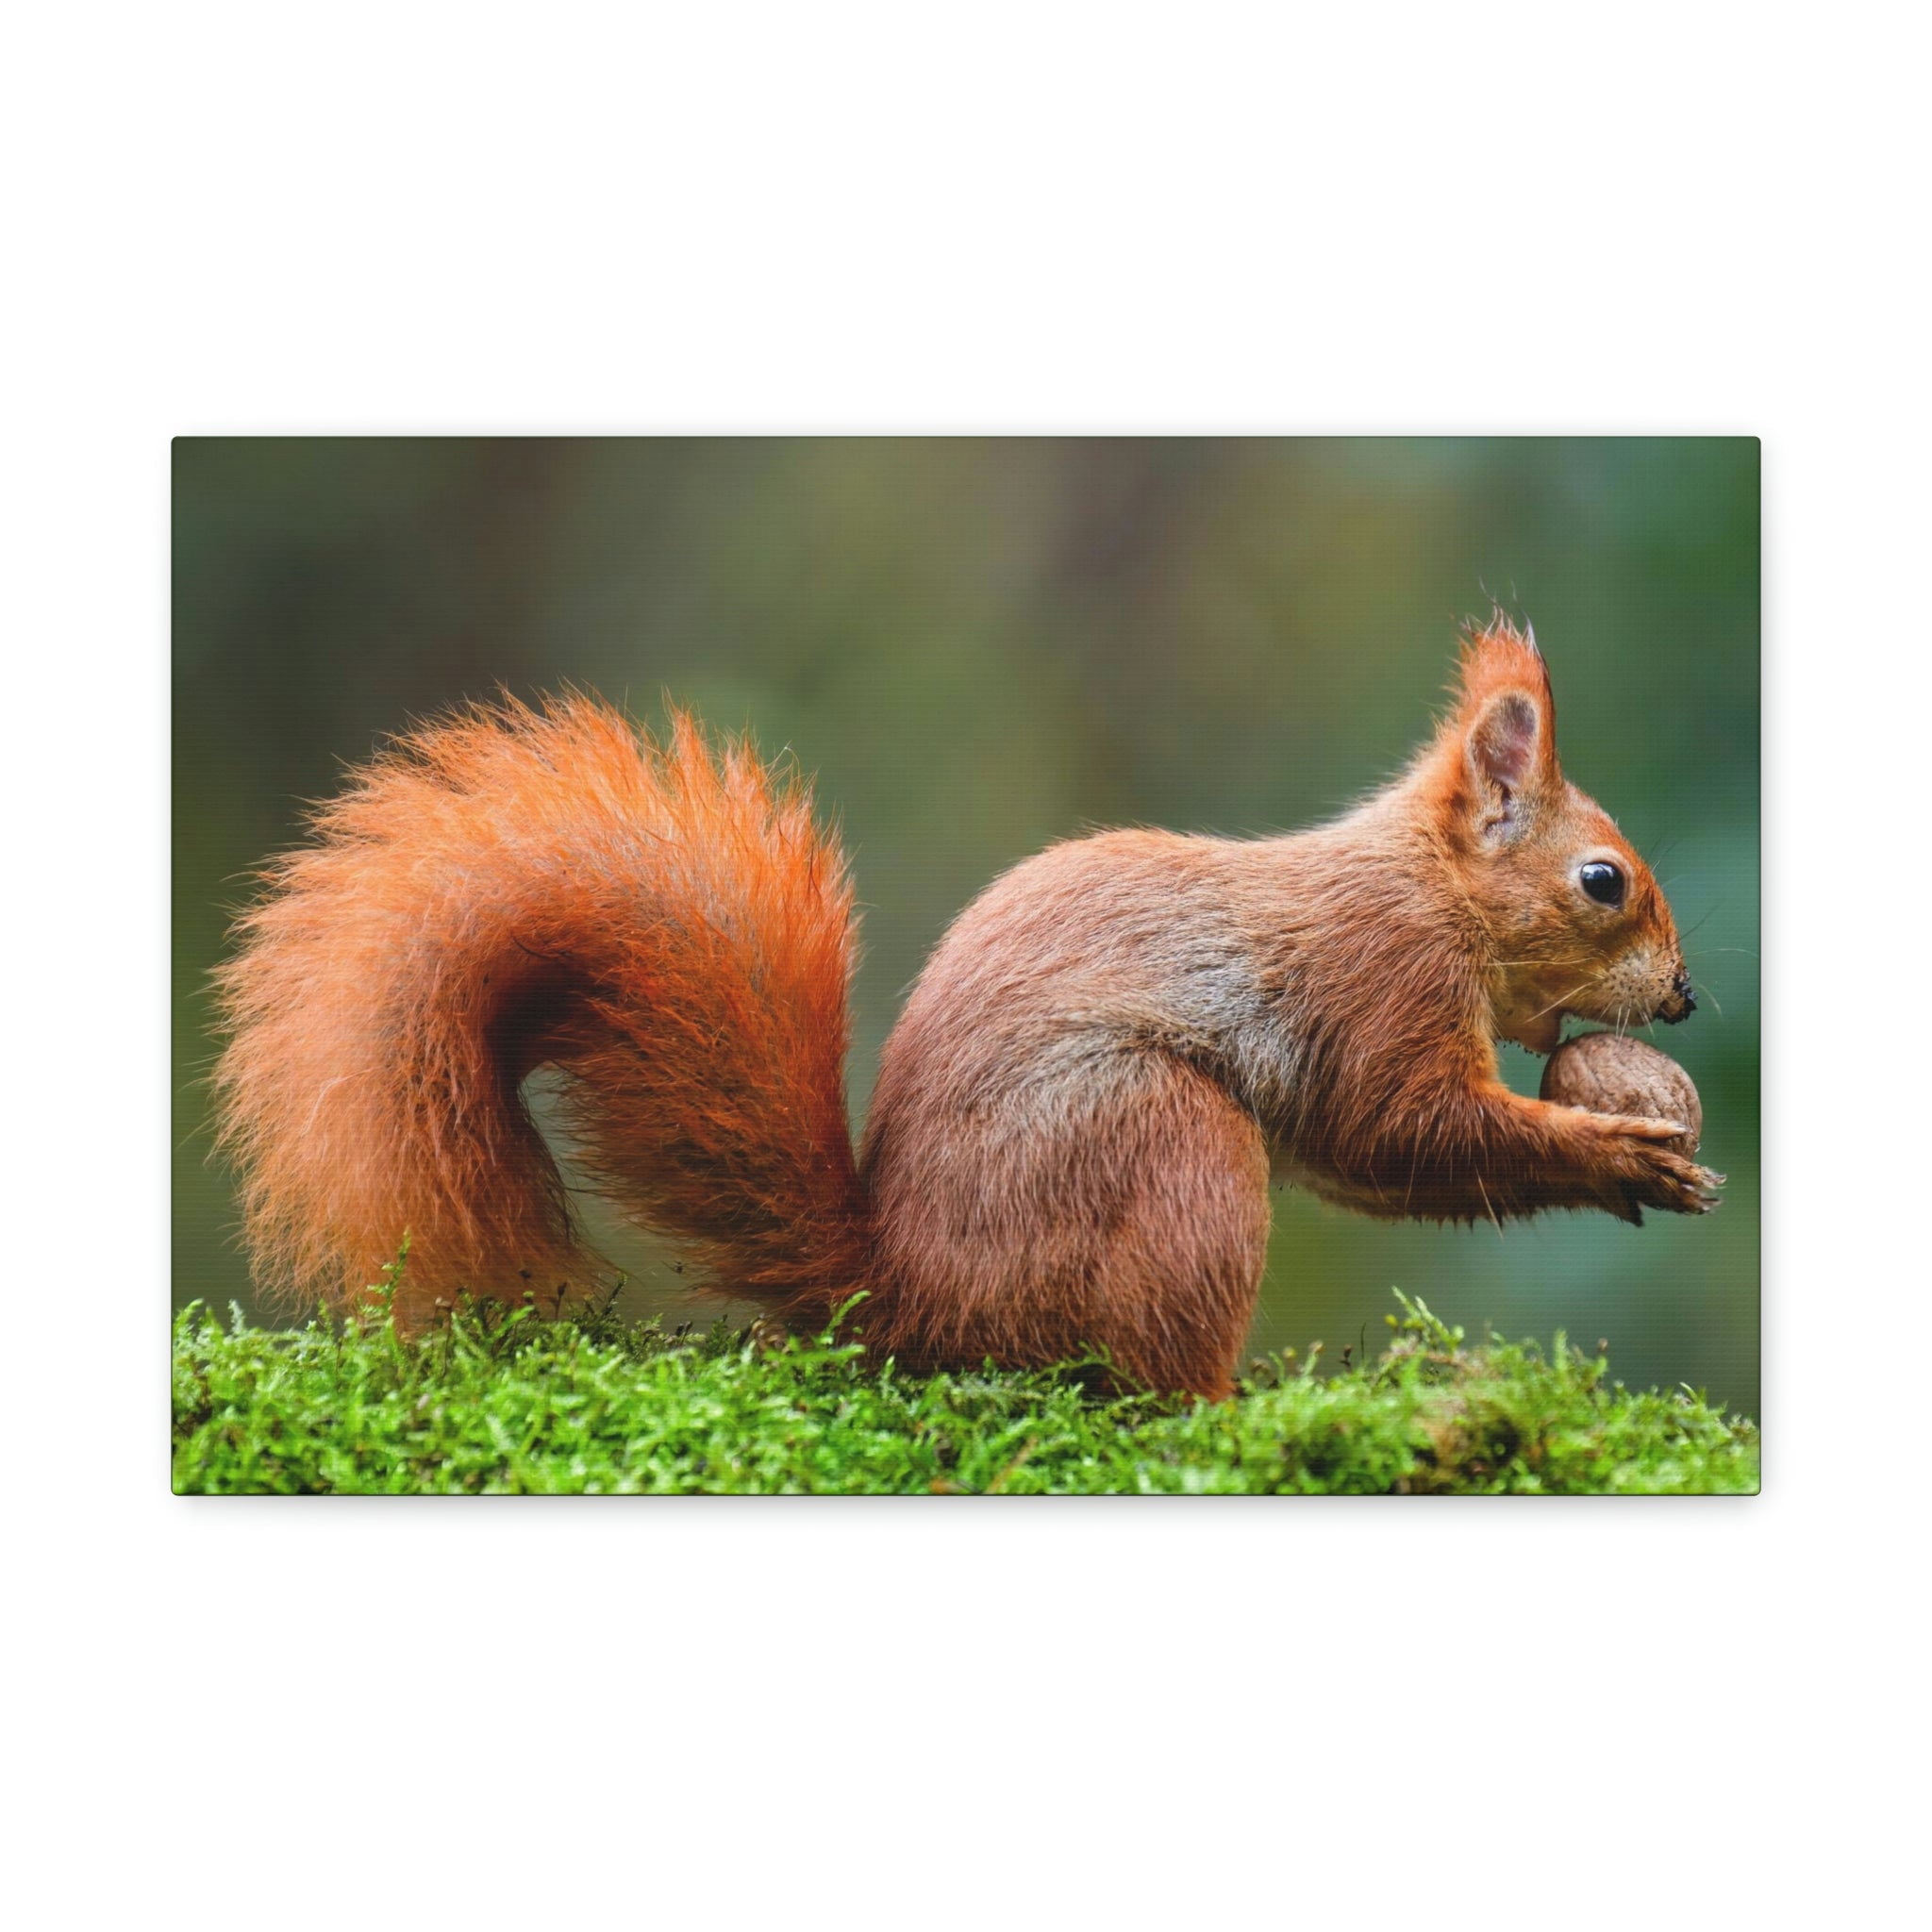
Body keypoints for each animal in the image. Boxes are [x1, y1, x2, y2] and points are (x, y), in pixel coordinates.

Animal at [210, 616, 1720, 1399]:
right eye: (1601, 881)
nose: (1688, 996)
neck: (1428, 887)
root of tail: (901, 1292)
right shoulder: (1377, 981)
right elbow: (1401, 1127)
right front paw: (1615, 1150)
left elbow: (1379, 1161)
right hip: (1159, 1143)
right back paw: (1219, 1407)